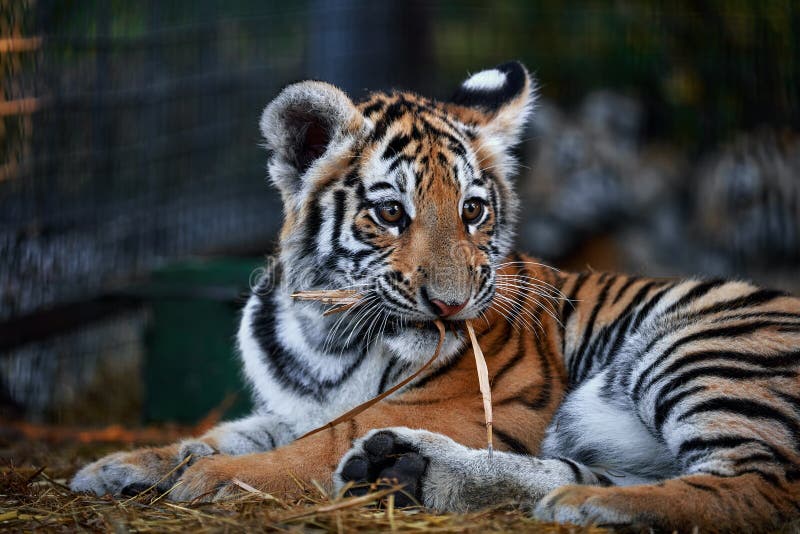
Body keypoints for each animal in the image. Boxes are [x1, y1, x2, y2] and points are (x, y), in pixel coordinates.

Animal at [68, 62, 800, 531]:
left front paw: (214, 480)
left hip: (699, 350)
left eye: (473, 211)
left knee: (763, 484)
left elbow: (322, 441)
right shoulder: (291, 406)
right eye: (391, 213)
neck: (325, 338)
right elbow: (219, 434)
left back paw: (588, 509)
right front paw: (118, 465)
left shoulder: (479, 407)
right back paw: (414, 469)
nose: (450, 306)